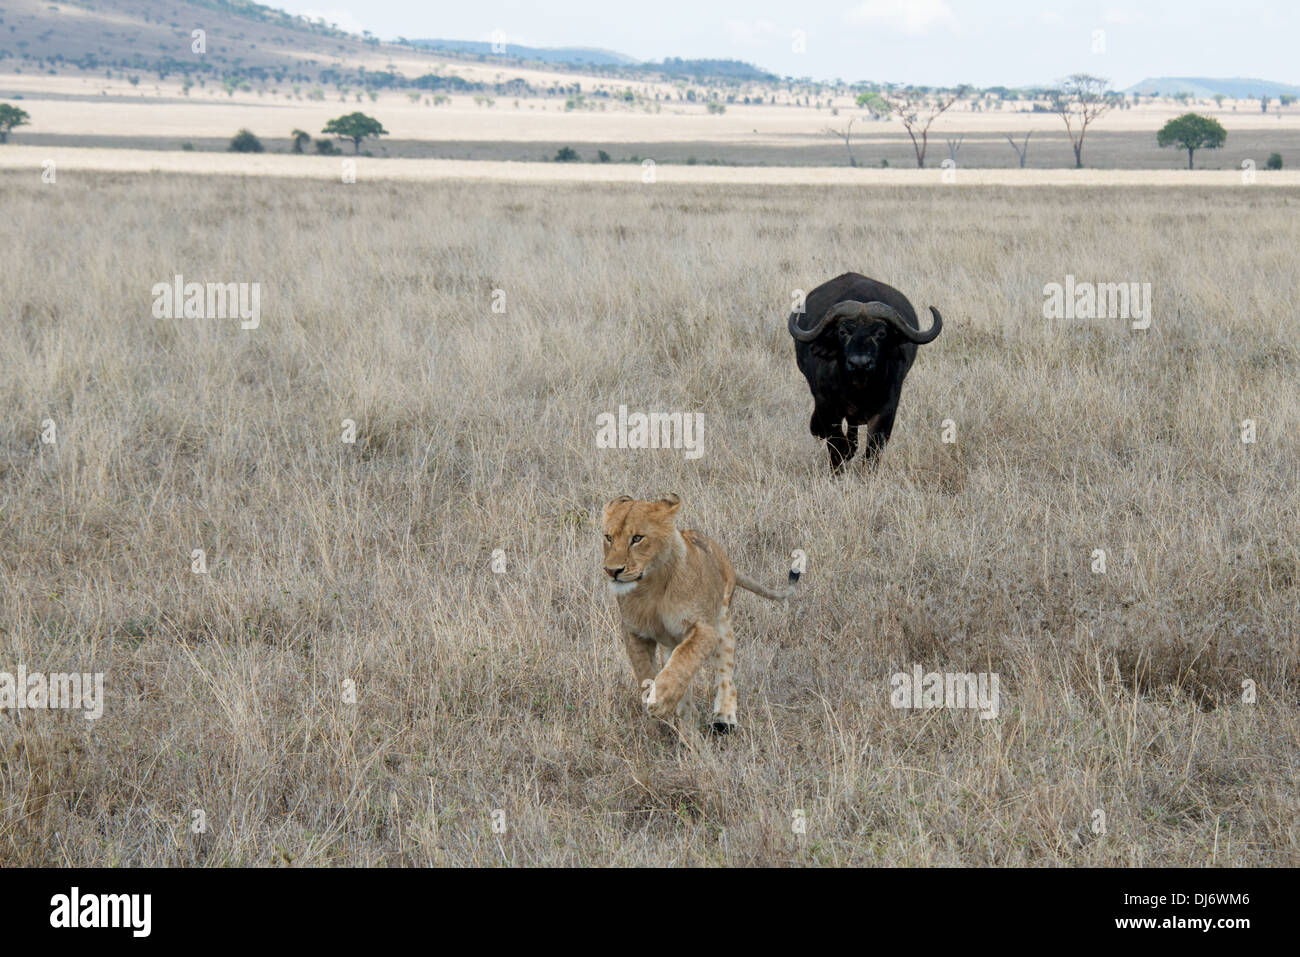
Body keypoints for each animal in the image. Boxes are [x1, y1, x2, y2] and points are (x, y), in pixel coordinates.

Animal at [601, 493, 800, 733]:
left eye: (637, 538)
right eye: (608, 537)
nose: (612, 571)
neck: (651, 585)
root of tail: (727, 562)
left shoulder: (704, 628)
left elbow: (685, 657)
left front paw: (661, 699)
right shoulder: (633, 631)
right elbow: (644, 670)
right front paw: (656, 701)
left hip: (722, 622)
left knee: (725, 673)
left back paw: (724, 717)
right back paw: (687, 721)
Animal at [788, 272, 942, 471]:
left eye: (881, 333)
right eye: (843, 332)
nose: (860, 363)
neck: (858, 389)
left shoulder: (887, 409)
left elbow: (873, 448)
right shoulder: (826, 405)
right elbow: (837, 444)